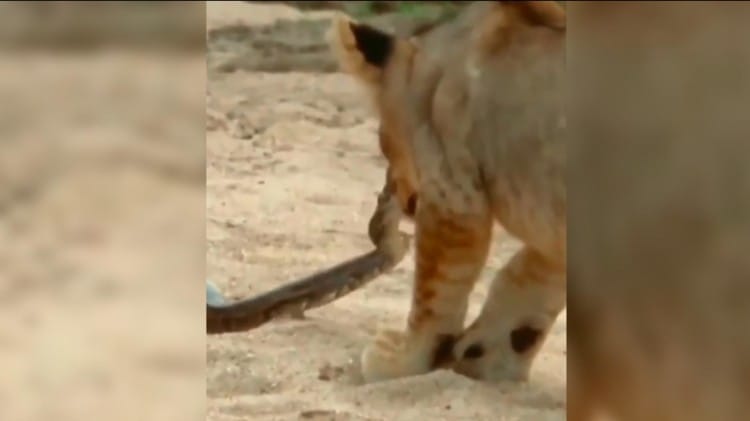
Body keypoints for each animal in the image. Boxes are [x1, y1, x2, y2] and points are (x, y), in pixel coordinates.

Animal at [328, 0, 566, 383]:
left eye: (383, 142)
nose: (403, 201)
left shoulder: (451, 189)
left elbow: (436, 289)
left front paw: (403, 360)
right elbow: (525, 279)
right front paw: (485, 357)